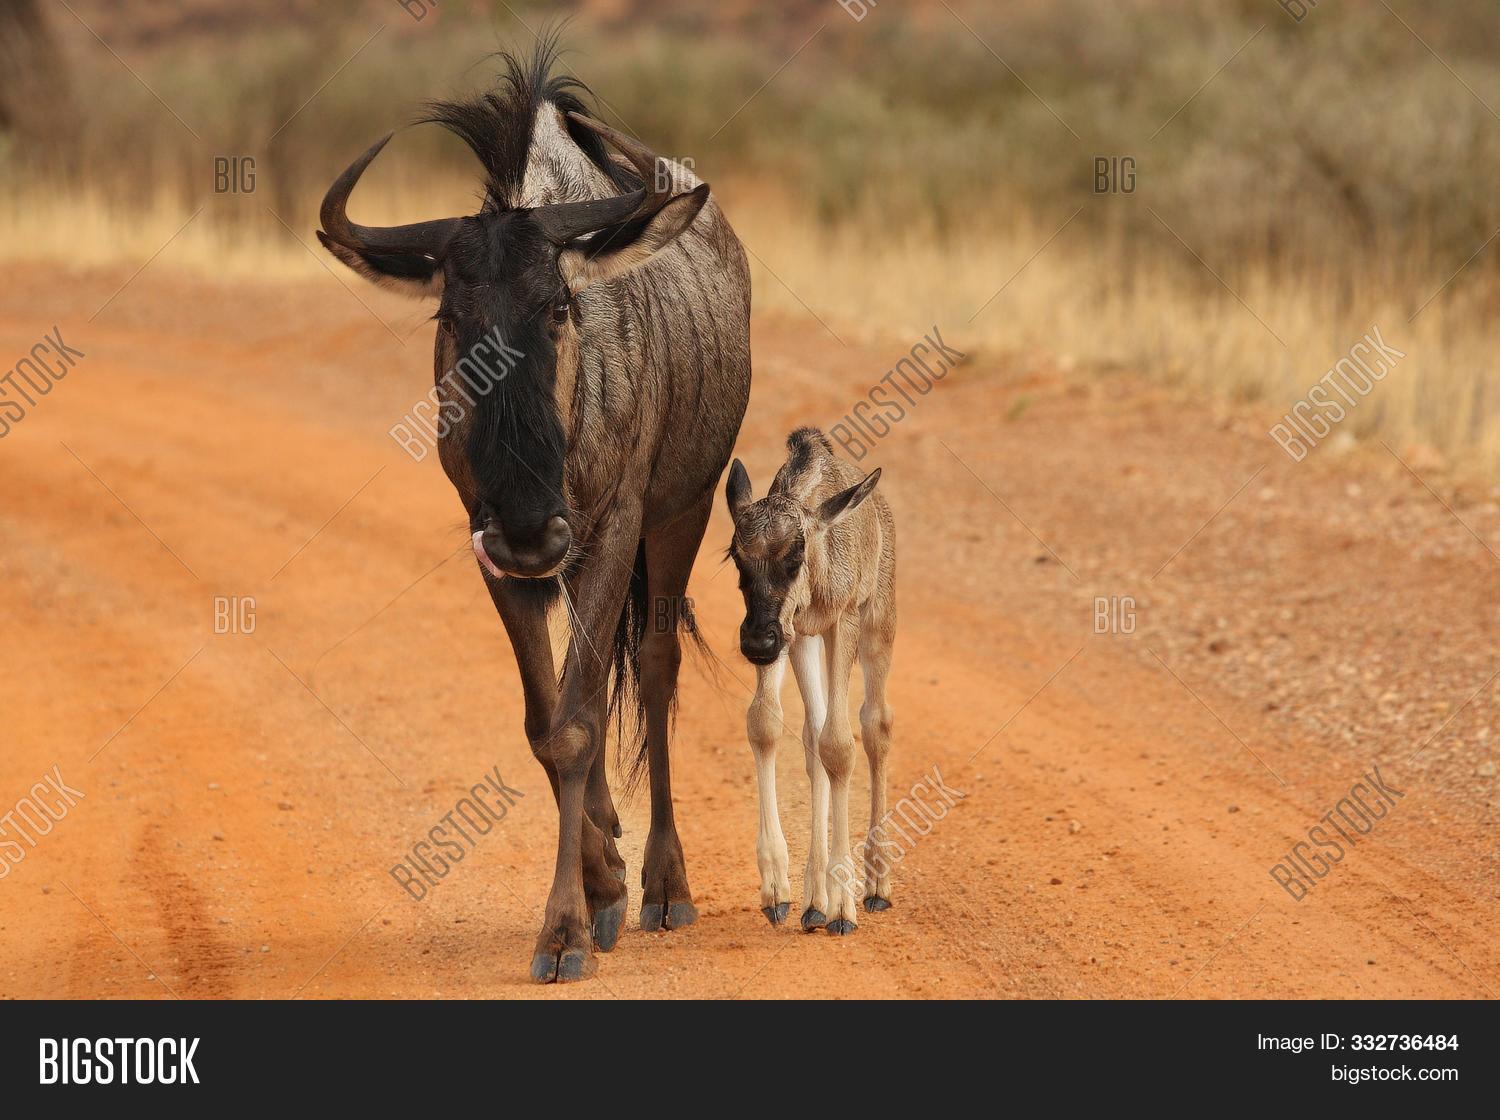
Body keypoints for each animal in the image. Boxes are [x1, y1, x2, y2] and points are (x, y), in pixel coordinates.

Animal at [318, 39, 751, 983]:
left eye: (559, 307)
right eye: (450, 316)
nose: (529, 526)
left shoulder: (612, 530)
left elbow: (582, 722)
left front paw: (573, 925)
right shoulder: (493, 552)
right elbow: (546, 724)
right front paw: (595, 885)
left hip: (684, 514)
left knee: (654, 670)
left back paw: (666, 883)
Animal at [725, 428, 896, 934]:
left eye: (796, 553)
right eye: (736, 556)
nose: (756, 641)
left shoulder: (843, 621)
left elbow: (841, 745)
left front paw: (844, 907)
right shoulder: (791, 632)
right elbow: (766, 725)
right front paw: (778, 890)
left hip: (878, 624)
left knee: (875, 725)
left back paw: (875, 885)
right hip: (803, 643)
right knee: (812, 733)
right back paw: (814, 899)